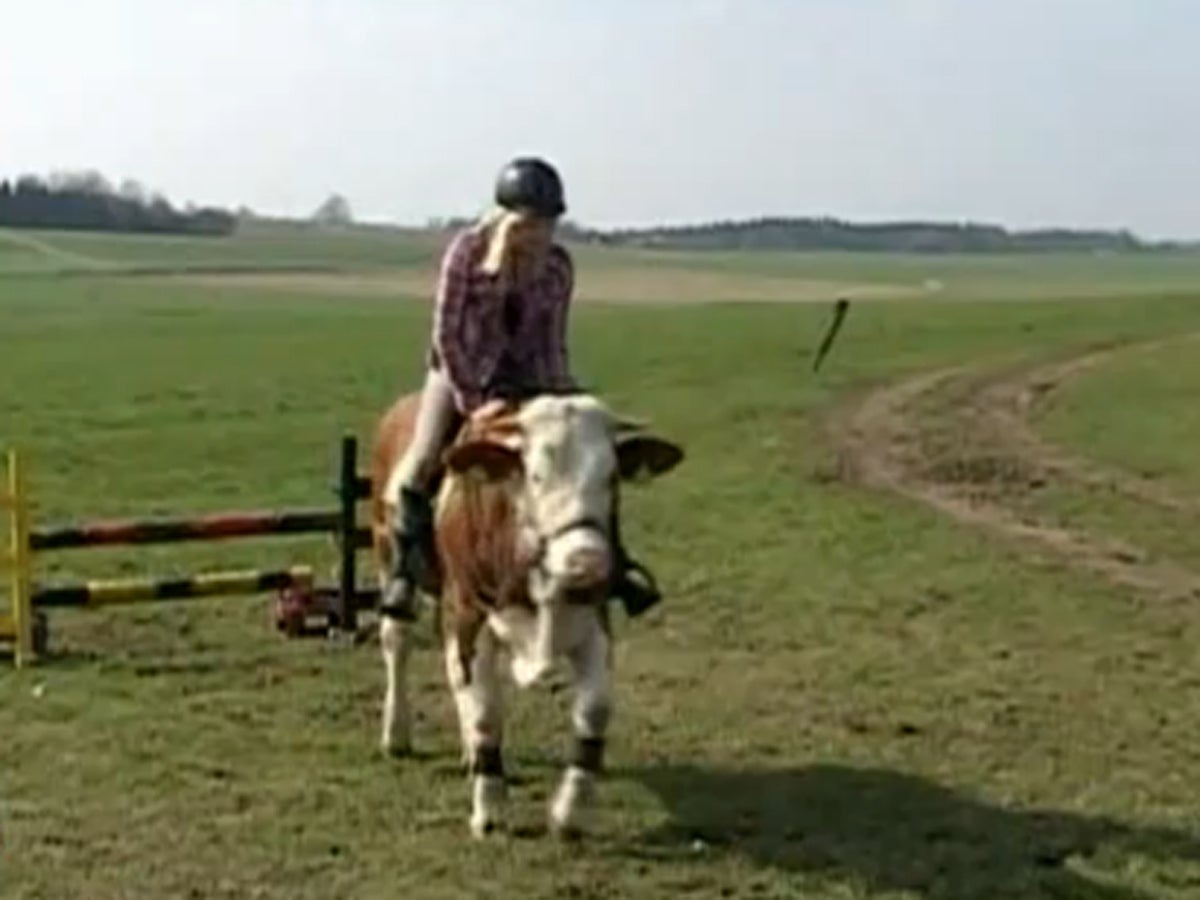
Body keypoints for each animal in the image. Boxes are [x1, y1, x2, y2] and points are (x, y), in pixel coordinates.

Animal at [368, 389, 684, 838]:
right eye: (535, 476)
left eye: (611, 477)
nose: (585, 565)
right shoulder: (470, 616)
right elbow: (486, 714)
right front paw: (490, 808)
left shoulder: (593, 625)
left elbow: (594, 711)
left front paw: (569, 810)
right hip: (389, 555)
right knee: (397, 643)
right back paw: (397, 734)